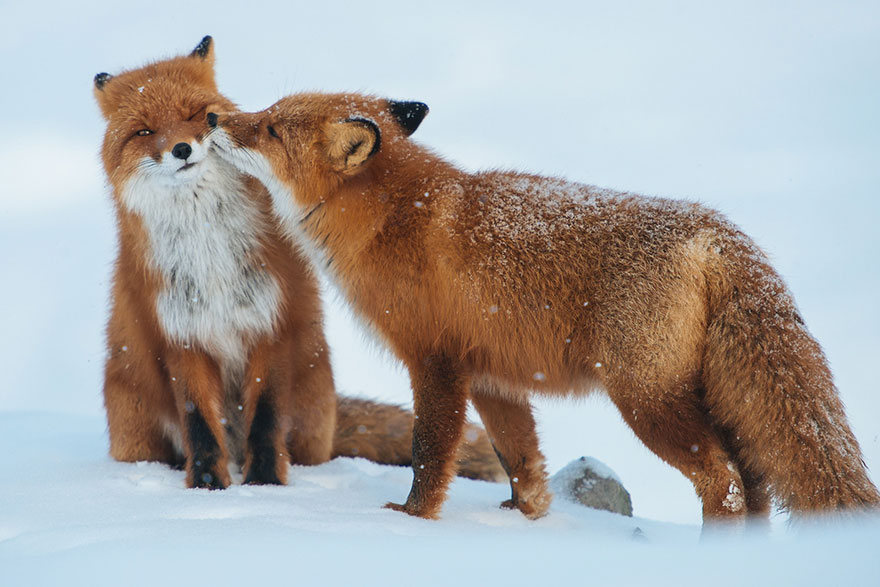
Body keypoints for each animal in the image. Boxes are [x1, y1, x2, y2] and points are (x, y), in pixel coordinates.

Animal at [94, 37, 505, 489]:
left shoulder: (273, 322)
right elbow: (199, 425)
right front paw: (209, 489)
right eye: (144, 131)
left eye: (194, 114)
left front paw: (265, 486)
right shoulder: (182, 336)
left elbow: (266, 418)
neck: (210, 251)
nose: (182, 149)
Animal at [208, 91, 880, 524]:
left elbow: (431, 454)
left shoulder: (436, 363)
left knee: (728, 484)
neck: (393, 218)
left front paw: (411, 519)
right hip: (706, 399)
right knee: (756, 483)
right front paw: (524, 520)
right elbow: (520, 461)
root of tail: (715, 232)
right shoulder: (493, 377)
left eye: (271, 128)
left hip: (646, 401)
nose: (214, 116)